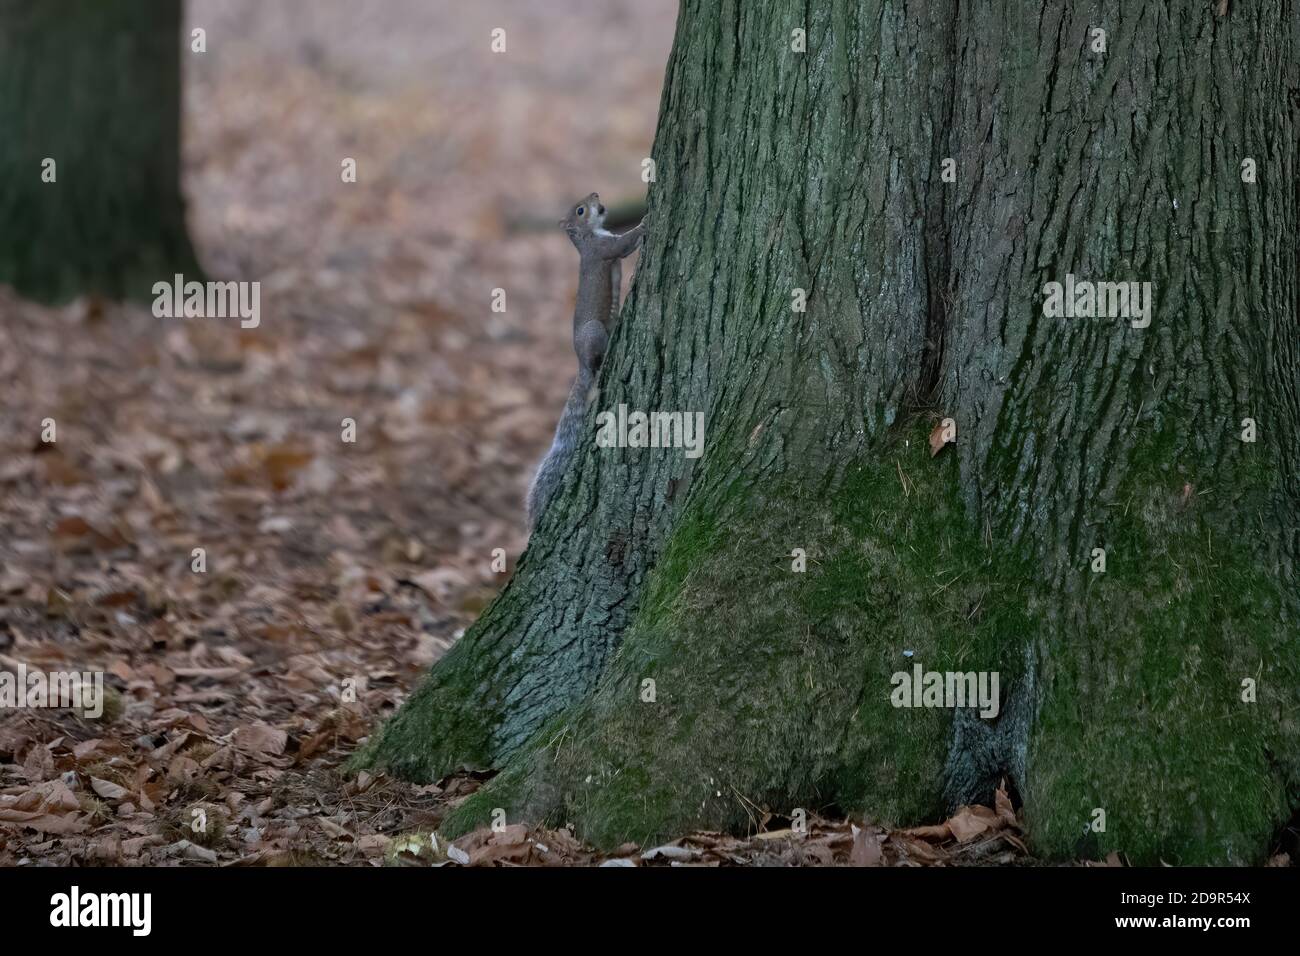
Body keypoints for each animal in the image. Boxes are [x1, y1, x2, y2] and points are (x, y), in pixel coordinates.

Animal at [526, 192, 646, 529]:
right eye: (580, 210)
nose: (595, 195)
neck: (591, 236)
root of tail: (579, 362)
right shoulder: (604, 250)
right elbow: (624, 245)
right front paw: (646, 221)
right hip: (594, 334)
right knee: (595, 363)